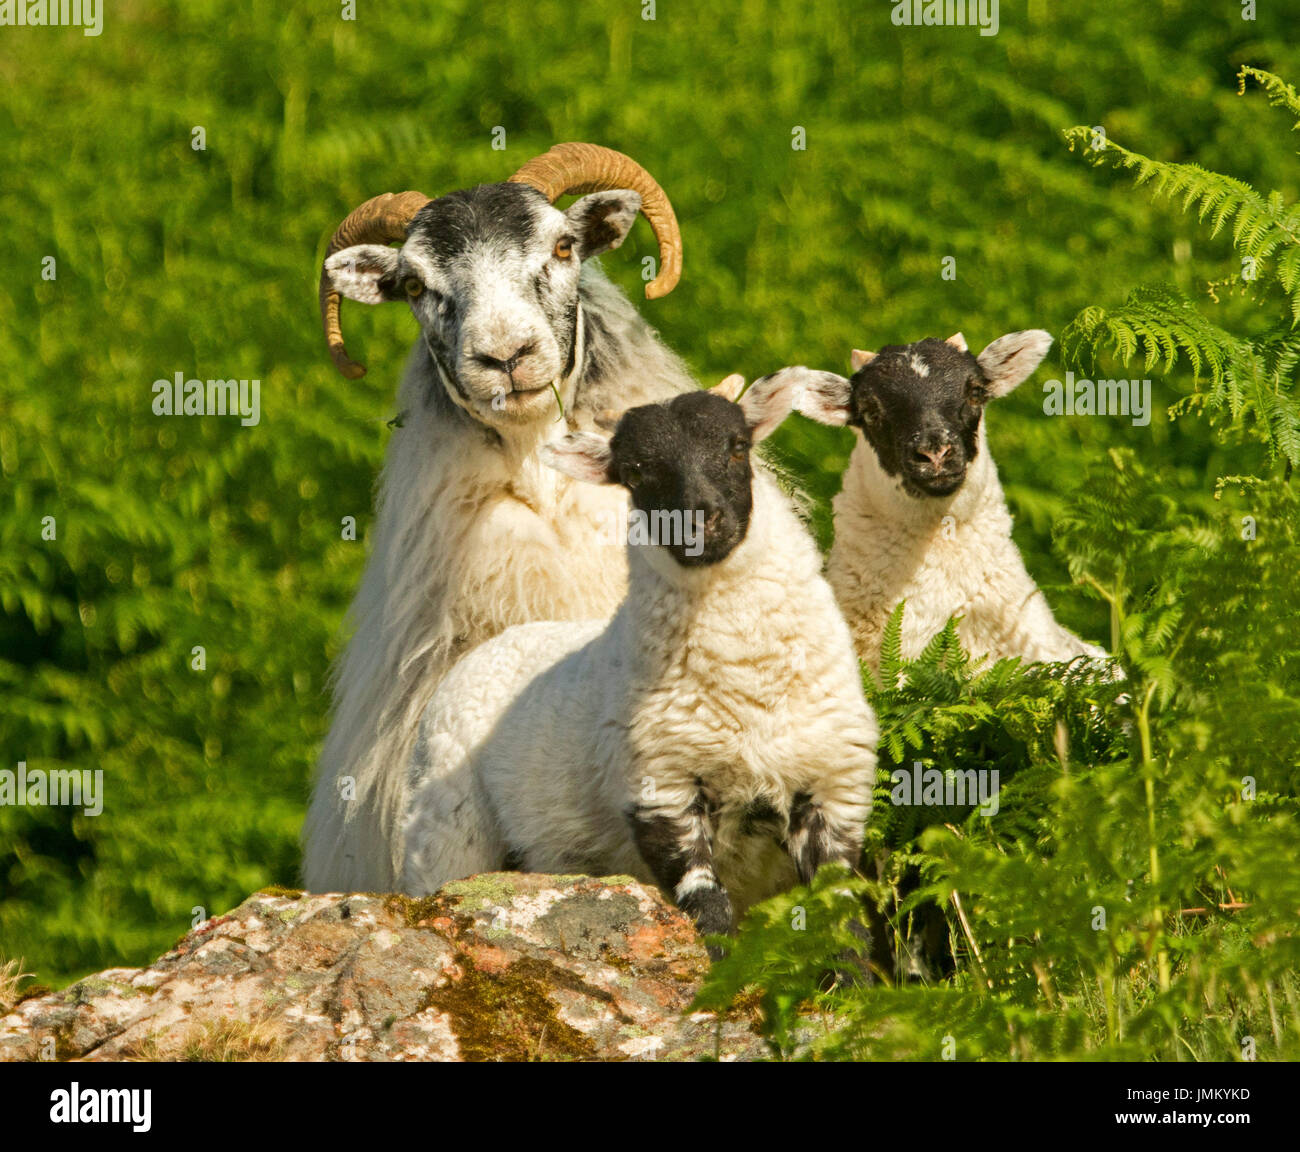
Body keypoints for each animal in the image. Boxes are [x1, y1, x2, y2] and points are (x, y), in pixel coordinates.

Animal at [400, 376, 878, 945]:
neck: (748, 682)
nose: (698, 522)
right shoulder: (661, 790)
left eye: (738, 446)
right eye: (634, 472)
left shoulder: (832, 787)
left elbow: (844, 924)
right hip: (447, 834)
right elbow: (708, 911)